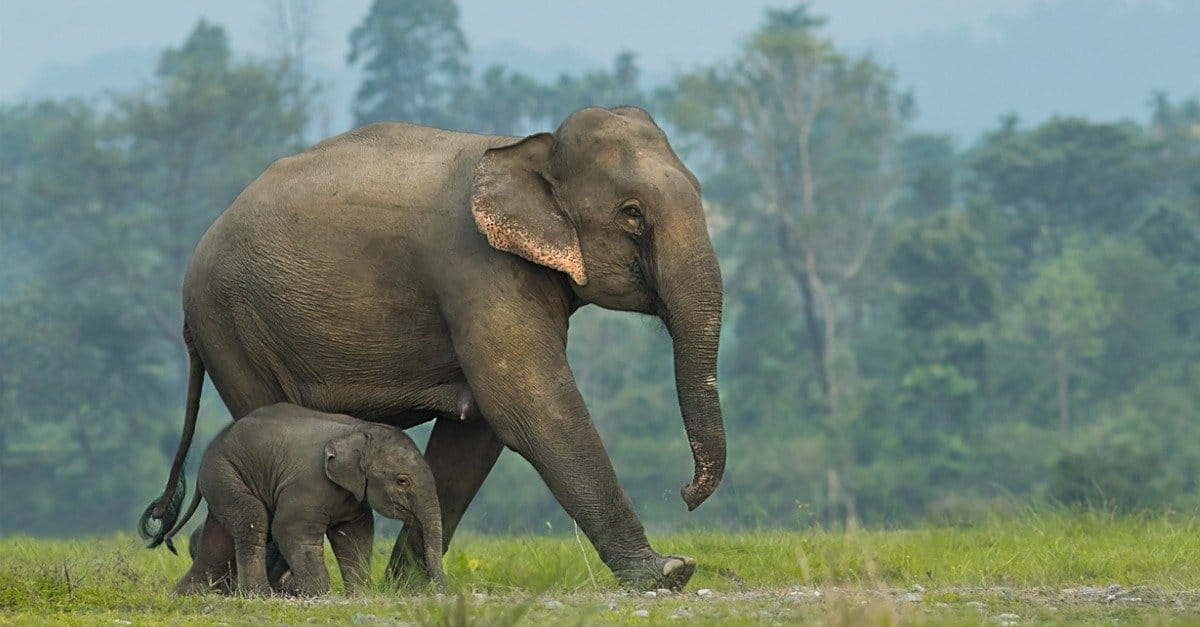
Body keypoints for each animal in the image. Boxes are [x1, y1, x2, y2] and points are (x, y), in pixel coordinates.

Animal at [165, 403, 445, 596]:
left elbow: (354, 536)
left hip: (223, 479)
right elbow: (288, 528)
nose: (442, 590)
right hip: (225, 472)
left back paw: (184, 594)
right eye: (402, 481)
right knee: (252, 518)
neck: (357, 430)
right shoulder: (308, 483)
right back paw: (261, 595)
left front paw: (359, 593)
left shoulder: (354, 497)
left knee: (218, 537)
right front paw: (305, 590)